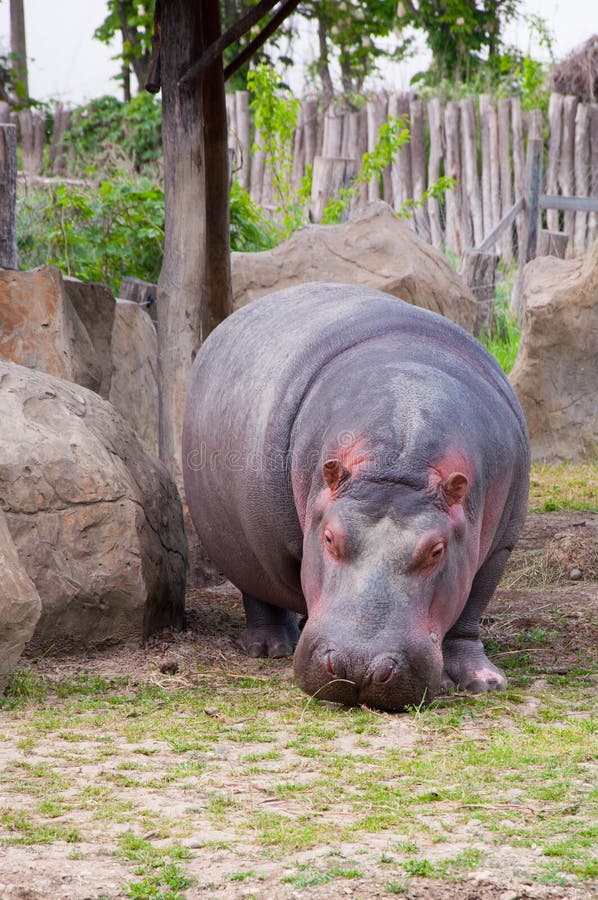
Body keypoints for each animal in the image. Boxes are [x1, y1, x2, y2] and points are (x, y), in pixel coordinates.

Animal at [182, 283, 530, 711]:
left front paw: (483, 682)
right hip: (243, 546)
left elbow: (470, 610)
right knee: (258, 590)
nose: (359, 667)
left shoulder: (499, 546)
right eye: (330, 537)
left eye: (437, 551)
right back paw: (270, 647)